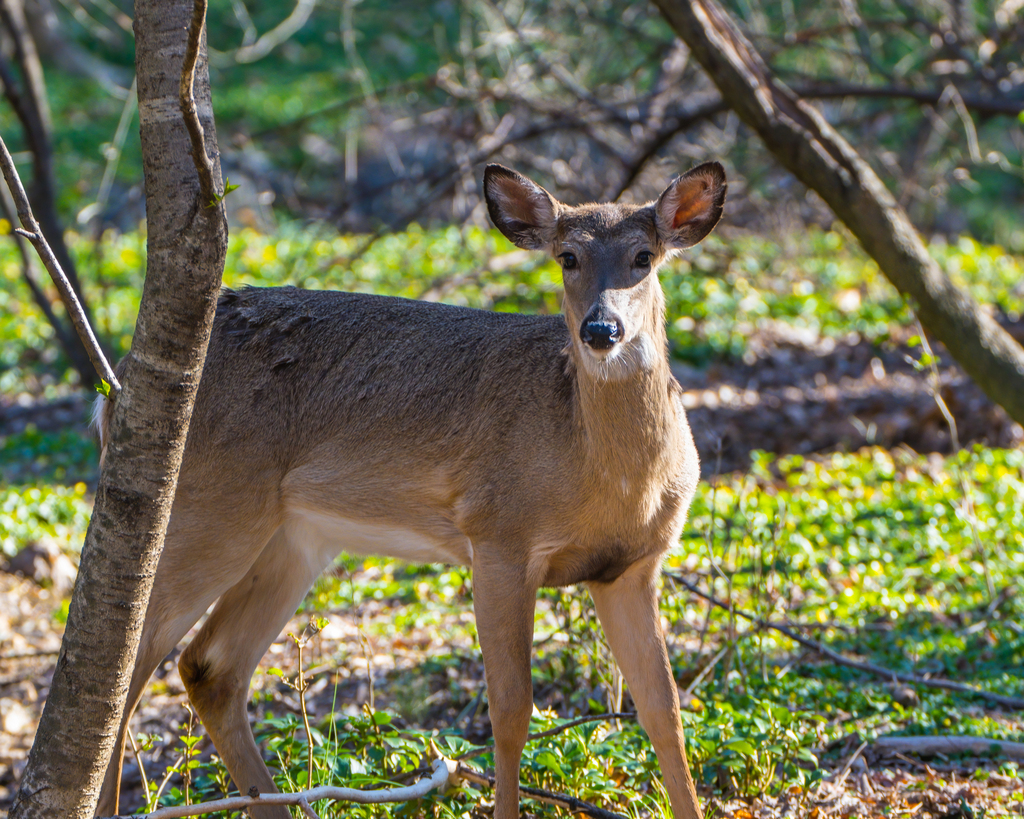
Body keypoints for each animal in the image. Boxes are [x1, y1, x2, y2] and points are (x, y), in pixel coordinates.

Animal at [95, 161, 726, 819]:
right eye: (567, 257)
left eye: (644, 256)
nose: (601, 329)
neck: (603, 473)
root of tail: (117, 389)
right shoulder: (498, 537)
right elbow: (511, 710)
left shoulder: (631, 566)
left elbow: (664, 710)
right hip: (206, 507)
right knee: (122, 666)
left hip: (293, 539)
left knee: (209, 666)